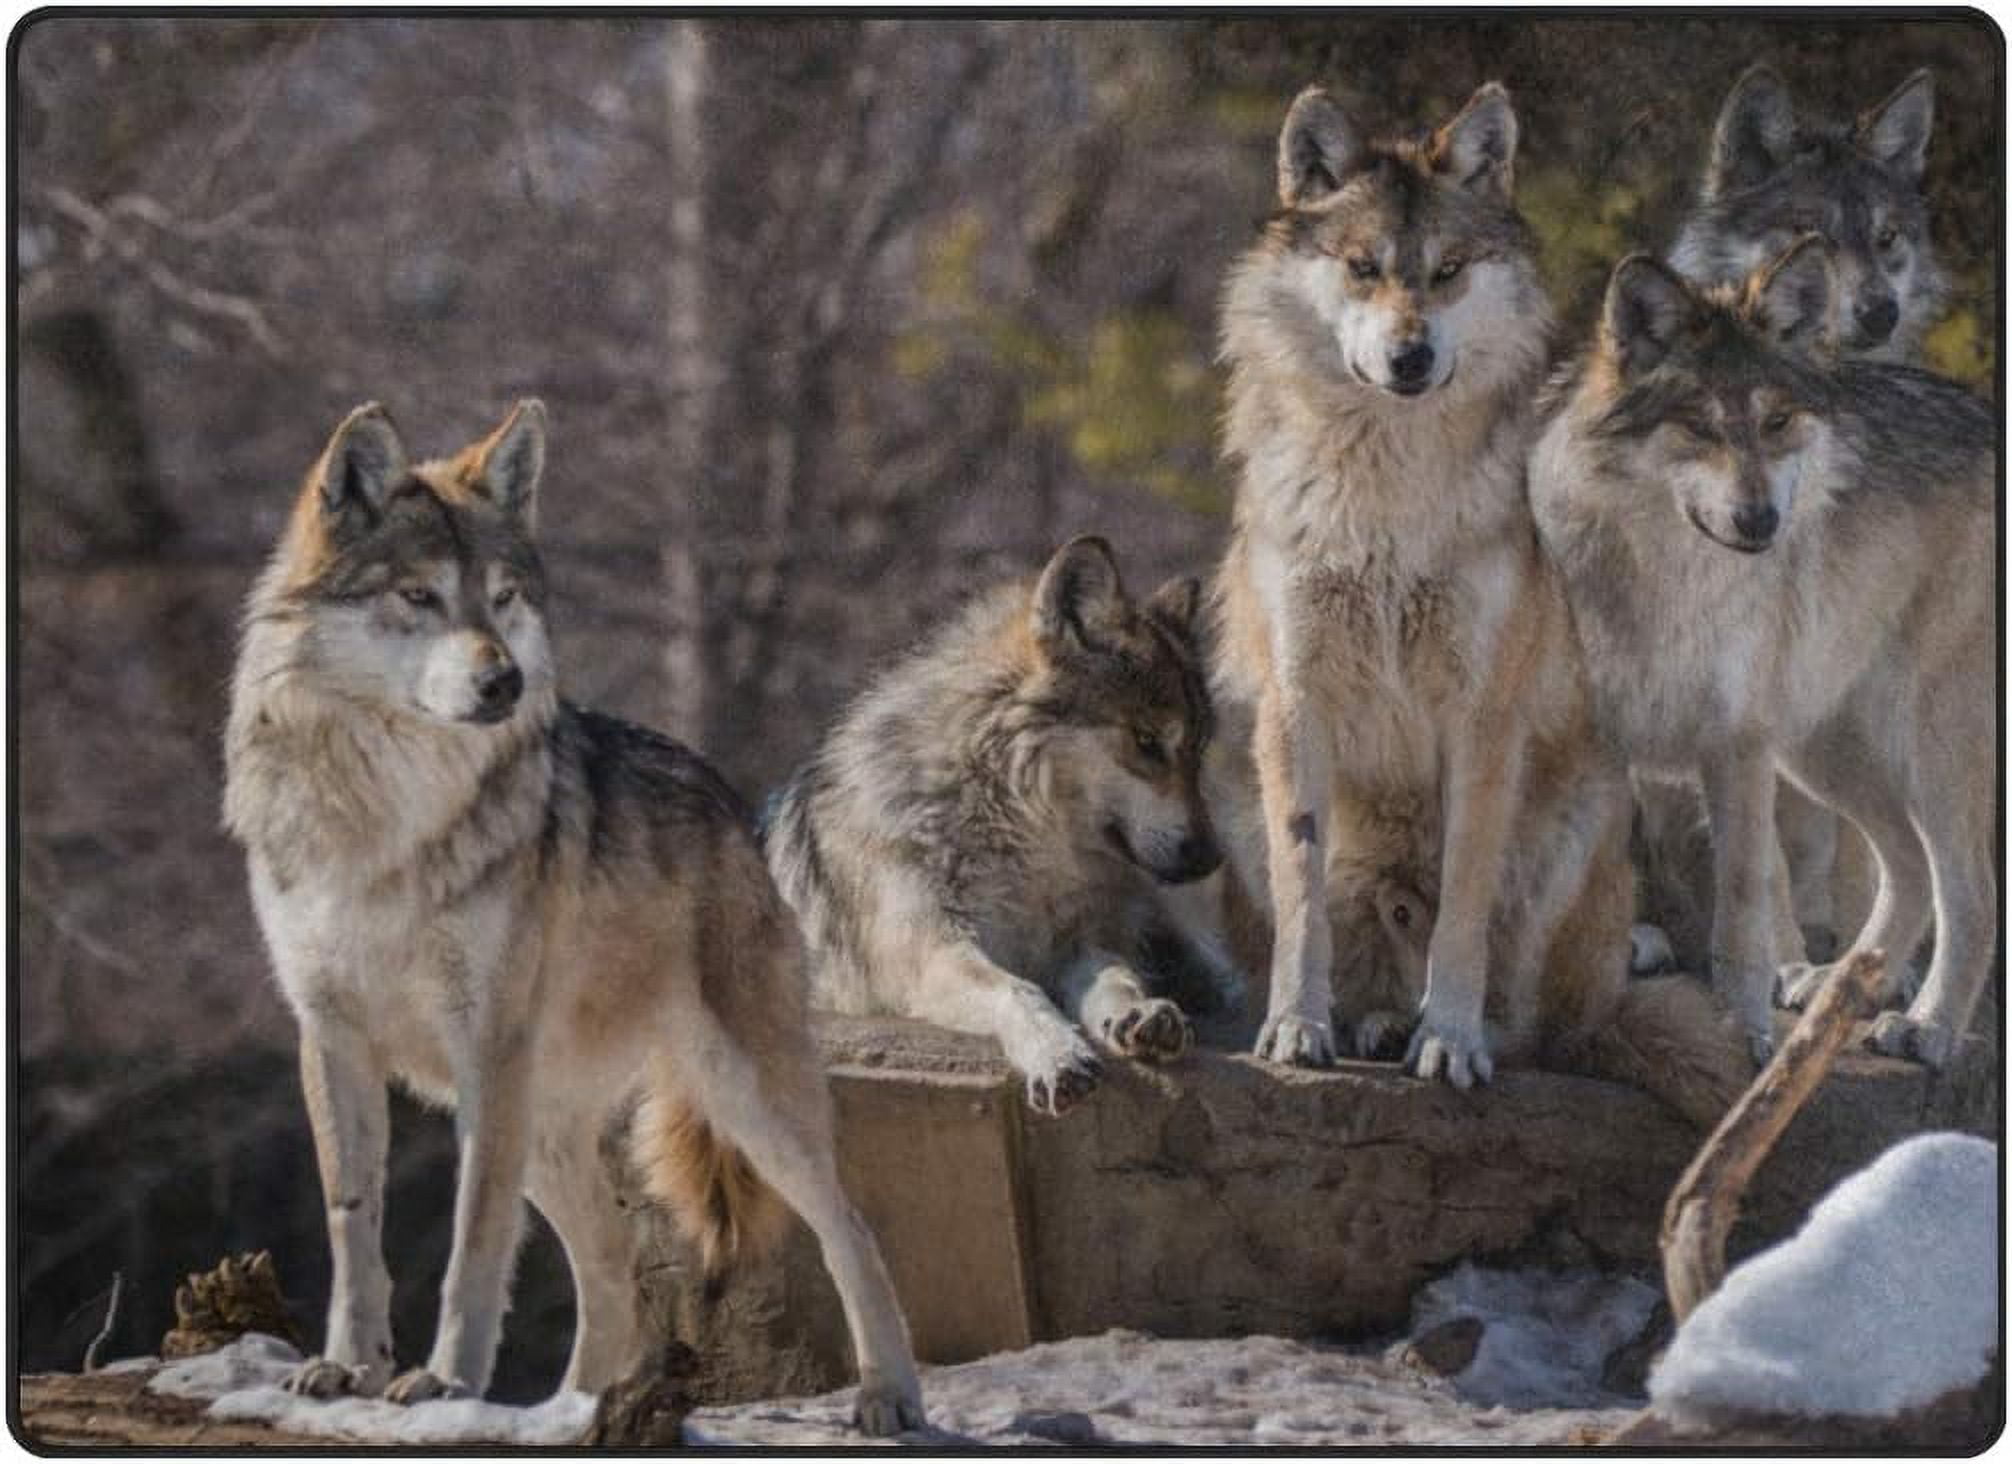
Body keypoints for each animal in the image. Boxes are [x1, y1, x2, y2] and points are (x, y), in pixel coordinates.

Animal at [222, 401, 922, 1432]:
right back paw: (575, 1408)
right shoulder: (332, 1037)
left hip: (738, 1100)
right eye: (420, 597)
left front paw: (445, 1385)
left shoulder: (486, 1048)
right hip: (546, 1131)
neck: (387, 819)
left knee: (852, 1228)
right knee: (610, 1264)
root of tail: (732, 797)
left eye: (504, 597)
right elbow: (354, 1227)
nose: (504, 682)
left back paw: (888, 1395)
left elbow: (474, 1242)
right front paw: (346, 1368)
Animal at [764, 535, 1239, 1116]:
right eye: (1147, 742)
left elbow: (1120, 977)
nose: (1212, 858)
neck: (1022, 837)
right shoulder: (934, 954)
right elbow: (1015, 988)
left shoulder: (1082, 945)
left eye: (1198, 751)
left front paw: (1140, 1014)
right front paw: (1057, 1054)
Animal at [1206, 81, 1752, 1123]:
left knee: (1545, 1031)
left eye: (1448, 271)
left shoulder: (1482, 719)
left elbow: (1461, 906)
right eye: (1364, 269)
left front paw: (1450, 1042)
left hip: (1587, 812)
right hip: (1235, 787)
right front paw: (1296, 1029)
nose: (1410, 357)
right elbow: (1303, 898)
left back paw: (1459, 1033)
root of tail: (1605, 1001)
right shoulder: (1295, 705)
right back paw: (1371, 1024)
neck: (1384, 498)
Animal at [1530, 237, 1996, 1068]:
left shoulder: (1737, 748)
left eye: (1776, 422)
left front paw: (1742, 1032)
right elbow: (1596, 884)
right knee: (1908, 867)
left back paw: (1929, 1026)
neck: (1668, 585)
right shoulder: (1602, 747)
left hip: (1927, 742)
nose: (1761, 521)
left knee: (1970, 886)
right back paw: (1836, 989)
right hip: (1822, 750)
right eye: (1700, 427)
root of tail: (1984, 409)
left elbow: (1745, 905)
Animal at [1646, 63, 1946, 966]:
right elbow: (1761, 858)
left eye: (1887, 238)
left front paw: (1862, 964)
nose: (1880, 311)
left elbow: (1863, 859)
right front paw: (1778, 965)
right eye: (1807, 234)